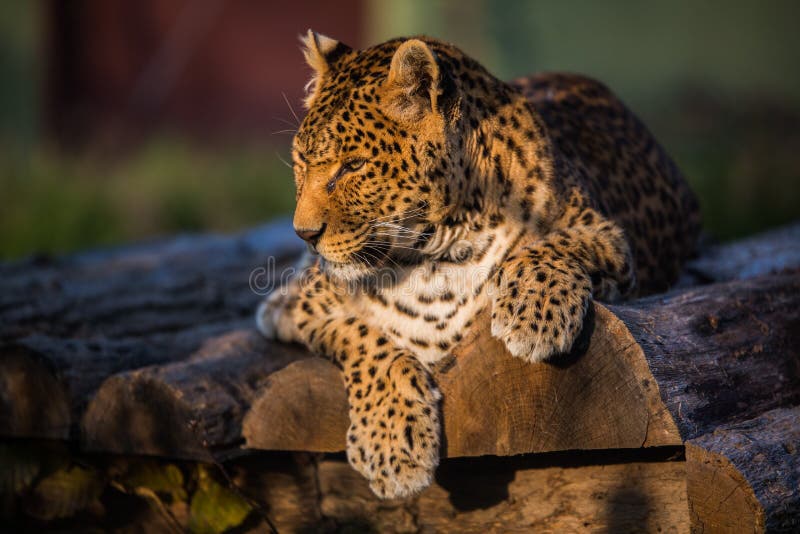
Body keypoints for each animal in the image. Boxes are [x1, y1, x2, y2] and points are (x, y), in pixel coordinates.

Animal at [256, 31, 701, 499]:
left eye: (354, 166)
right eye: (301, 163)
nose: (304, 234)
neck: (433, 260)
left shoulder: (607, 238)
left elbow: (551, 247)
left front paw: (534, 317)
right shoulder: (300, 306)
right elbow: (362, 340)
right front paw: (392, 445)